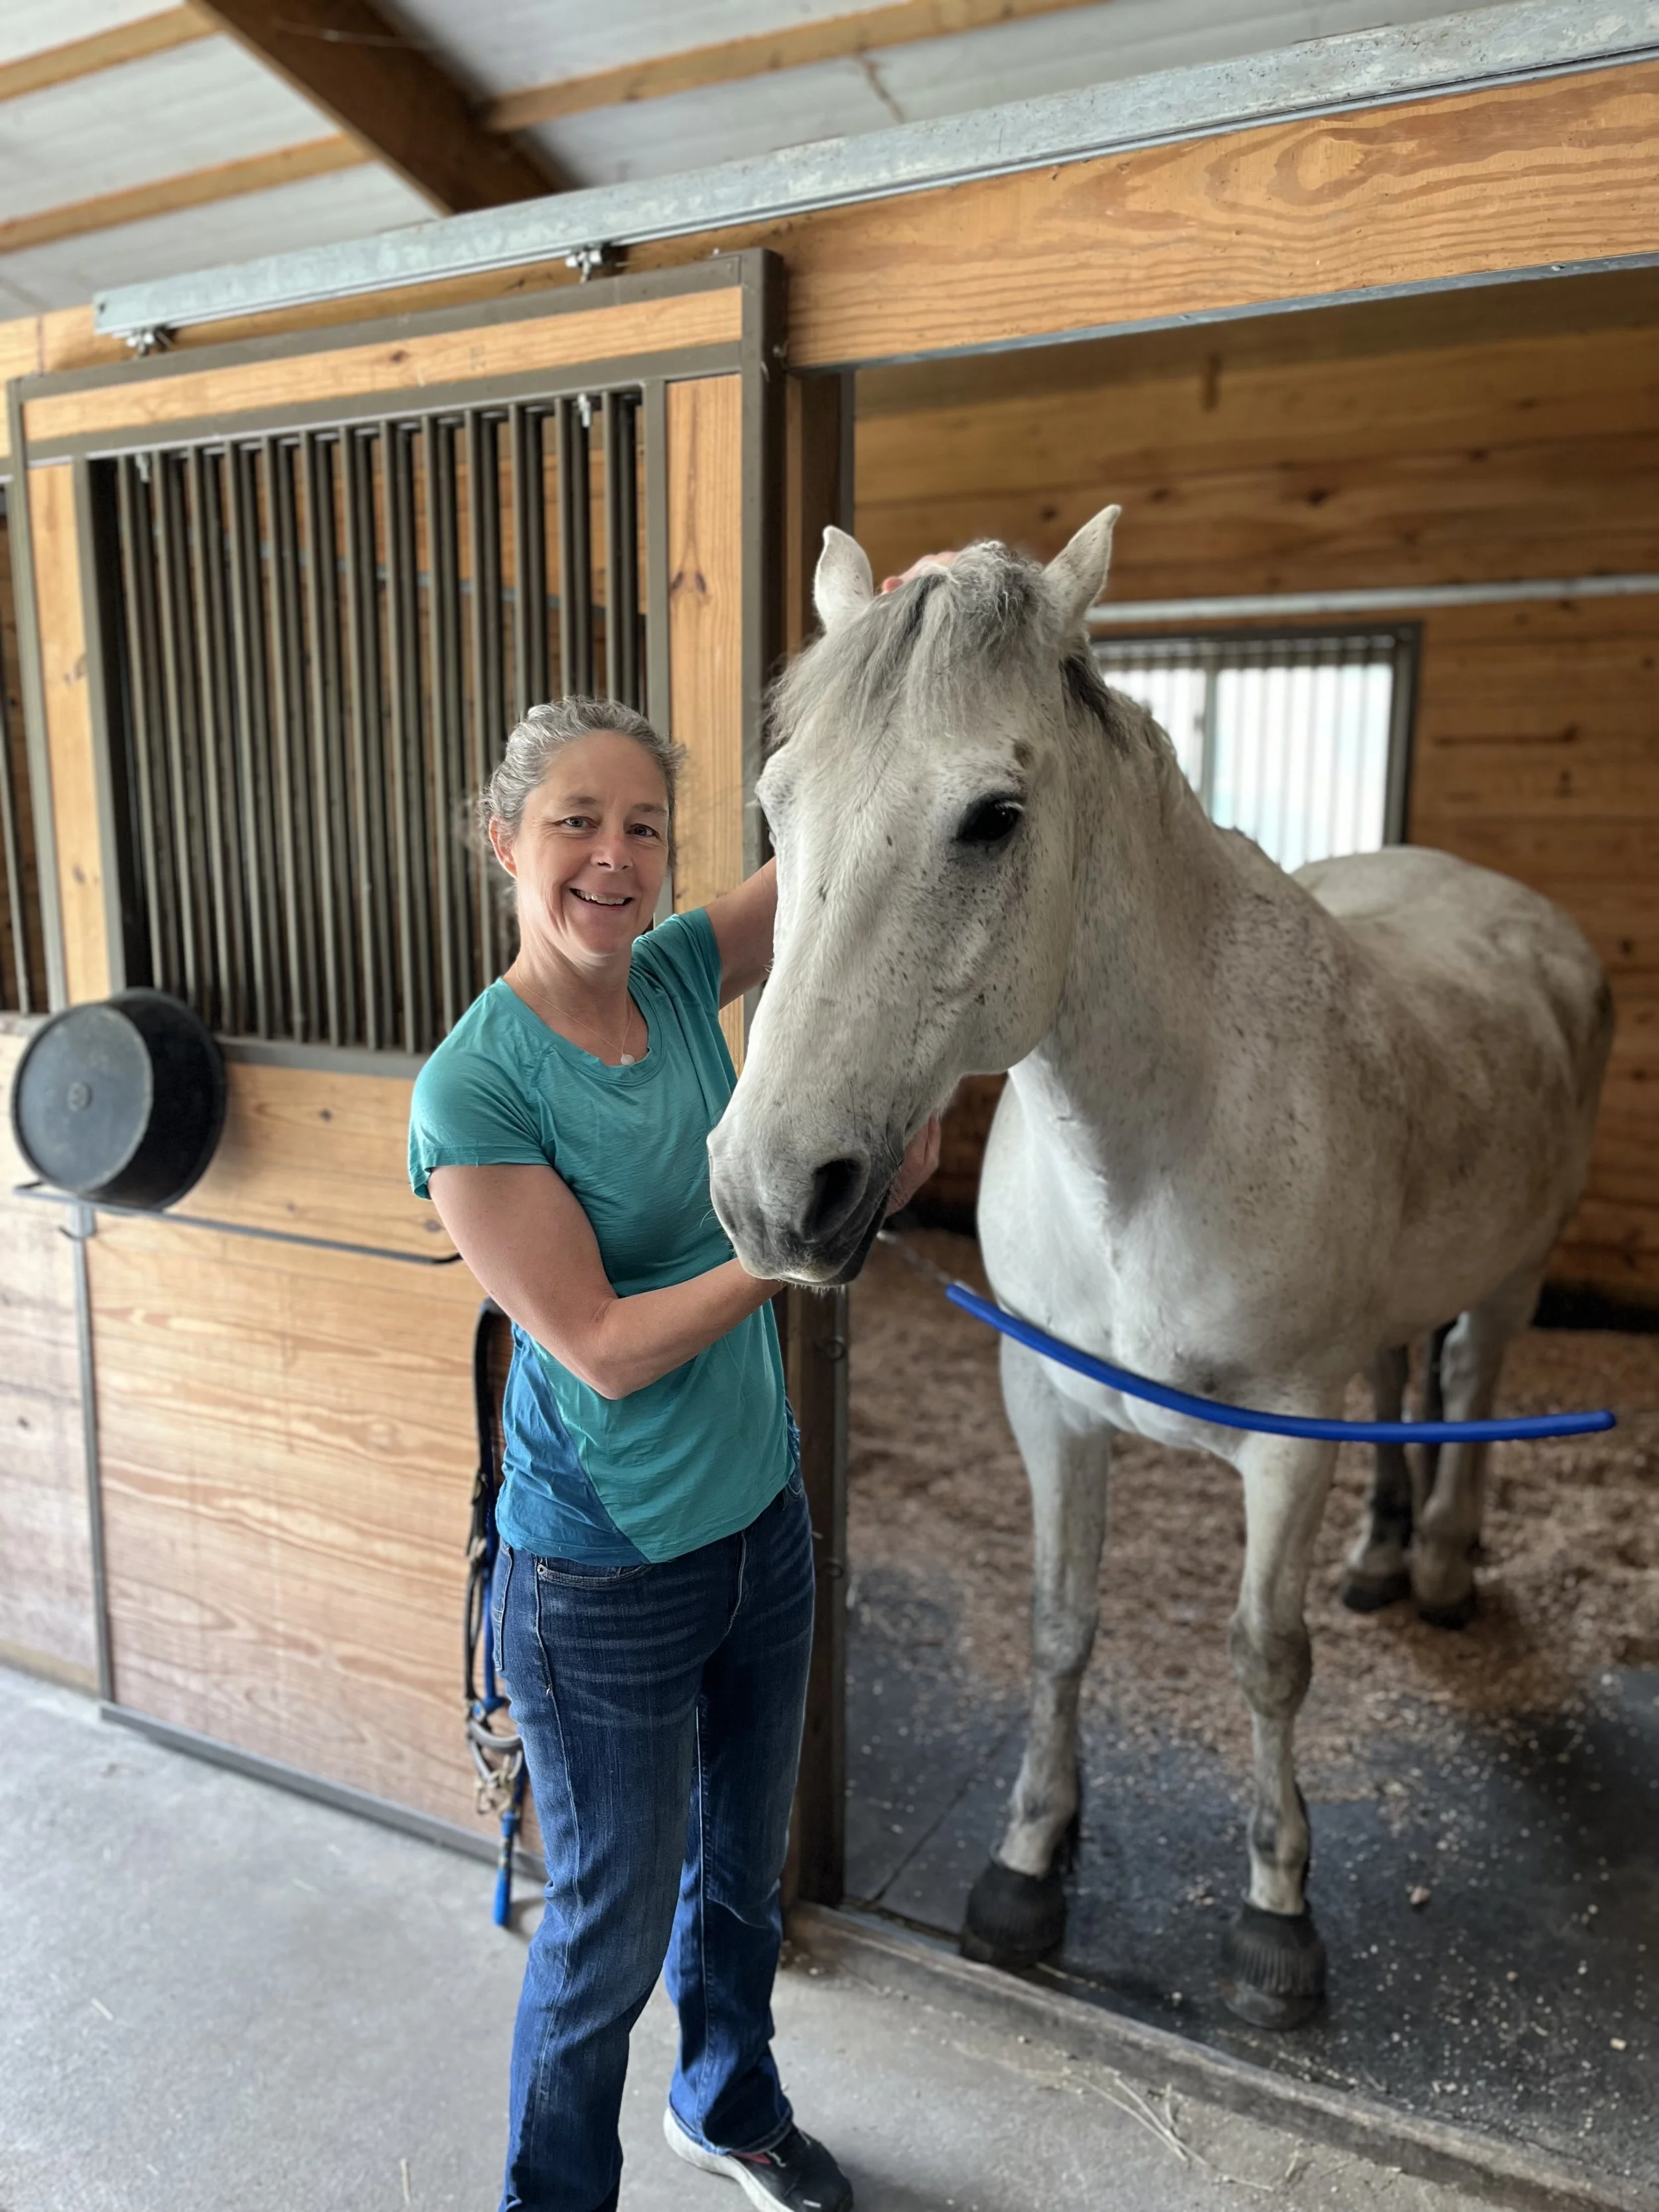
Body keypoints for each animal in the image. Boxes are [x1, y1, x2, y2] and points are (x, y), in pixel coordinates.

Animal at [706, 509, 1612, 2027]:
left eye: (993, 817)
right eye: (777, 809)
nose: (770, 1191)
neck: (1150, 1149)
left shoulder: (1285, 1445)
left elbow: (1266, 1658)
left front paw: (1274, 1918)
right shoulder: (1048, 1406)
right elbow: (1059, 1624)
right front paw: (1026, 1865)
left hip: (1511, 1274)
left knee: (1471, 1382)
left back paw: (1433, 1567)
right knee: (1400, 1376)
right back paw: (1380, 1556)